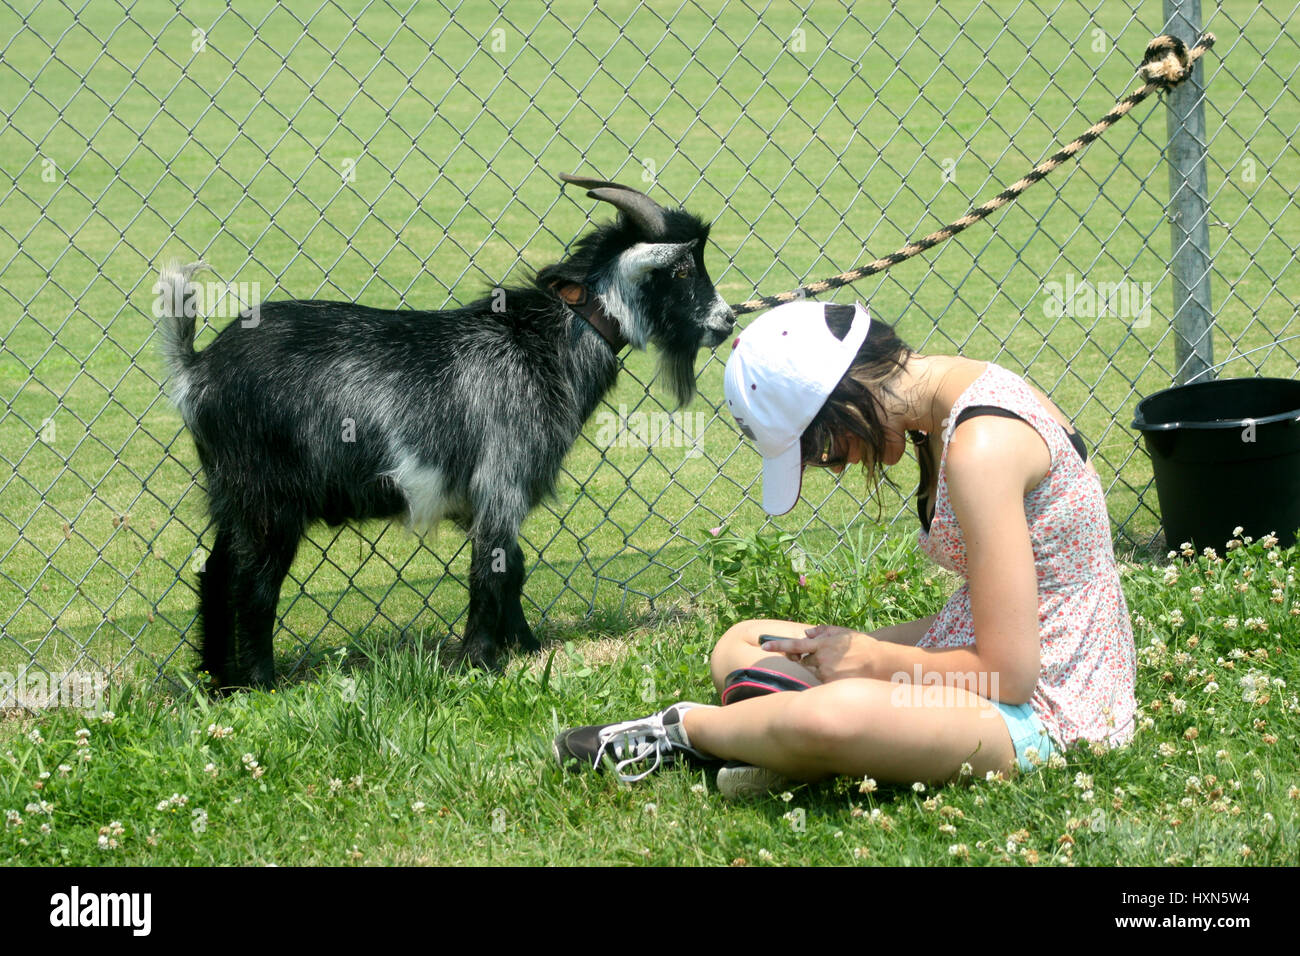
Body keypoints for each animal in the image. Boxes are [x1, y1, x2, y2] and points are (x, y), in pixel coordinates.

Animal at [155, 173, 735, 688]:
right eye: (683, 269)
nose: (727, 320)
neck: (542, 345)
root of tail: (197, 370)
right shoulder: (501, 480)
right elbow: (492, 570)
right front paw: (479, 661)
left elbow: (513, 566)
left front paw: (526, 648)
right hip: (267, 498)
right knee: (253, 586)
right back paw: (261, 685)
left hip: (232, 494)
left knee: (216, 572)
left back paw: (216, 682)